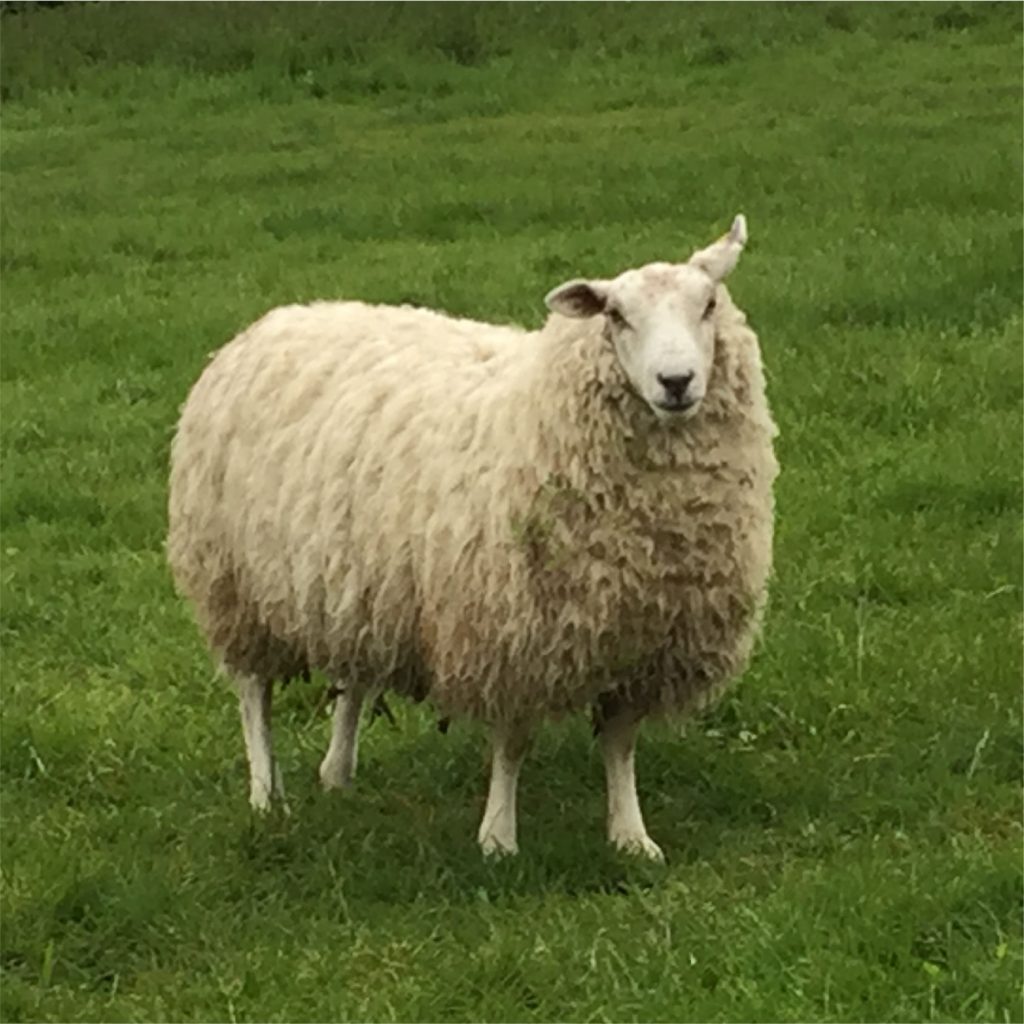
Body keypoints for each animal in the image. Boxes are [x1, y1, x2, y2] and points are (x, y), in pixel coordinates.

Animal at [167, 214, 777, 860]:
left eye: (709, 304)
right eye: (615, 315)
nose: (676, 382)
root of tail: (275, 319)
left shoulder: (642, 639)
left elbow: (620, 744)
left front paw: (631, 837)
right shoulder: (509, 634)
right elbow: (511, 744)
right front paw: (498, 839)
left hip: (357, 584)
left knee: (352, 679)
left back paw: (338, 772)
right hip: (234, 585)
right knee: (253, 694)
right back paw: (265, 796)